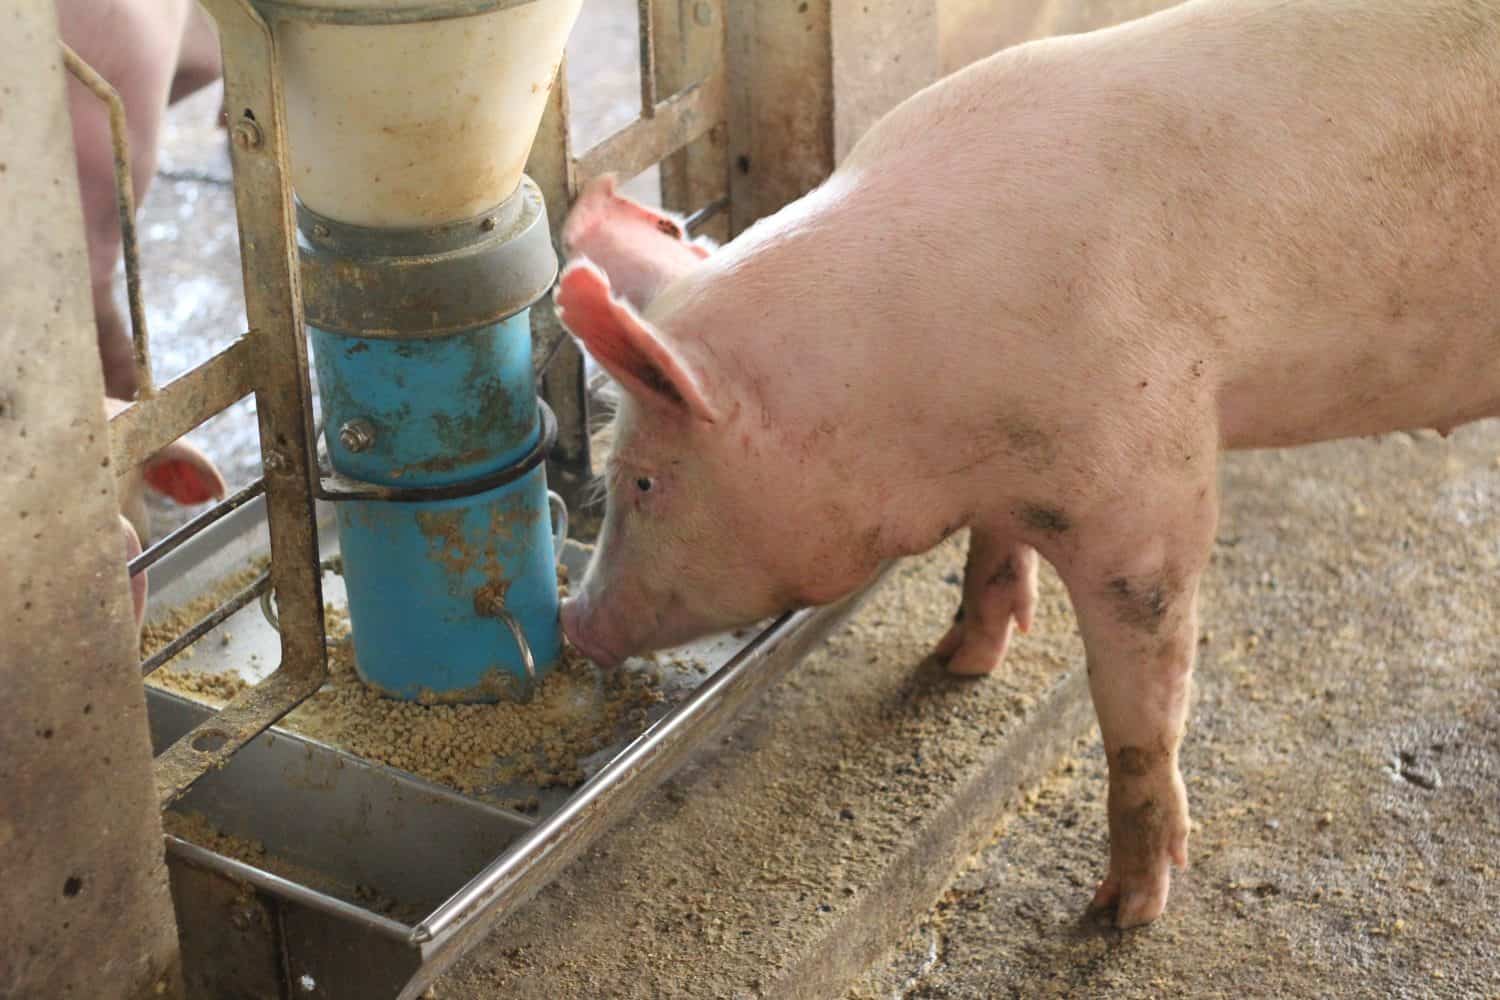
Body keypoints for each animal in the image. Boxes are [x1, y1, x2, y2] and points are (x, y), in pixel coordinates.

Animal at [555, 0, 1500, 928]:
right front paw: (958, 659)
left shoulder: (1151, 479)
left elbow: (1139, 702)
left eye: (642, 480)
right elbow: (995, 543)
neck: (911, 396)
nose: (572, 621)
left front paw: (1124, 913)